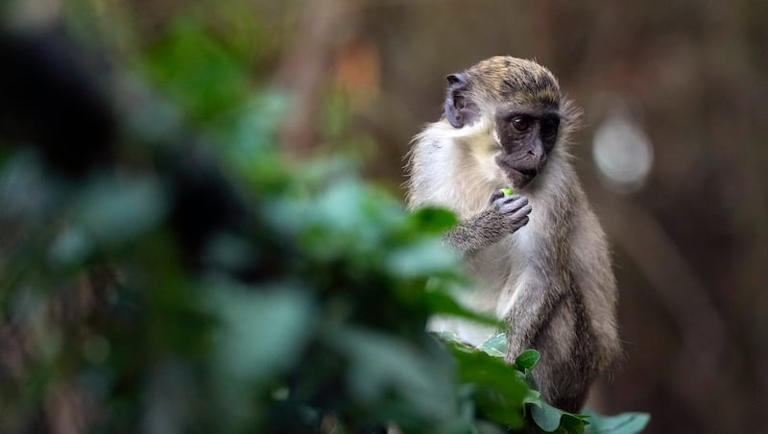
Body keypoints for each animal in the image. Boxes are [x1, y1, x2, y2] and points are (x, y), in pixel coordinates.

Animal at [405, 56, 619, 412]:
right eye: (520, 124)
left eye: (548, 129)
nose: (537, 154)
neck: (487, 172)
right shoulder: (431, 157)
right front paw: (486, 225)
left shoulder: (555, 183)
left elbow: (542, 278)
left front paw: (497, 371)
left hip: (572, 375)